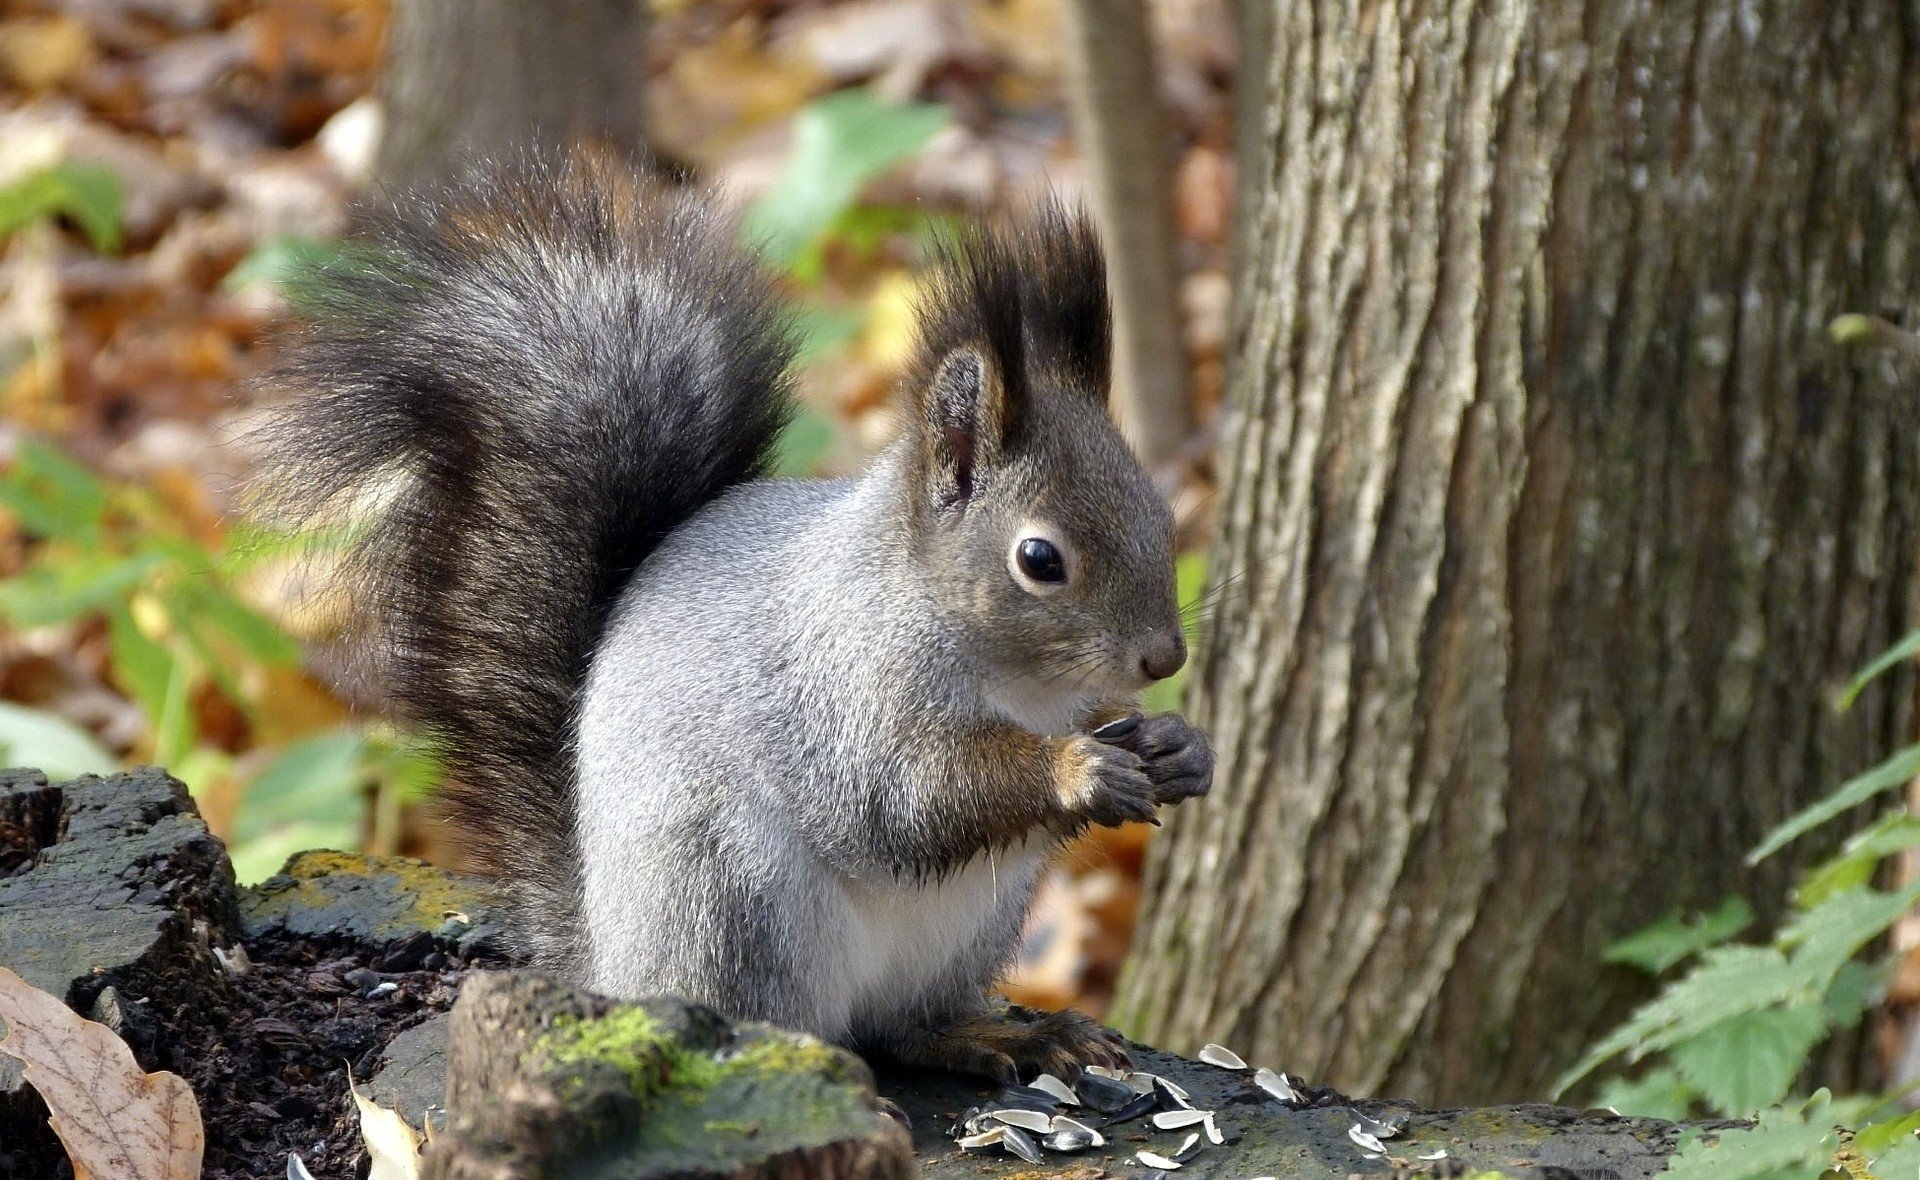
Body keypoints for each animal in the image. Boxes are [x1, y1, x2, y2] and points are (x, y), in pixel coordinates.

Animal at [252, 151, 1213, 1084]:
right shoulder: (847, 690)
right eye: (1040, 560)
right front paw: (1078, 769)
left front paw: (1176, 747)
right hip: (734, 899)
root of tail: (613, 965)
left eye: (1159, 513)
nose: (1164, 659)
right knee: (792, 1027)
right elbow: (905, 798)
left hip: (971, 925)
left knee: (899, 1027)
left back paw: (996, 1038)